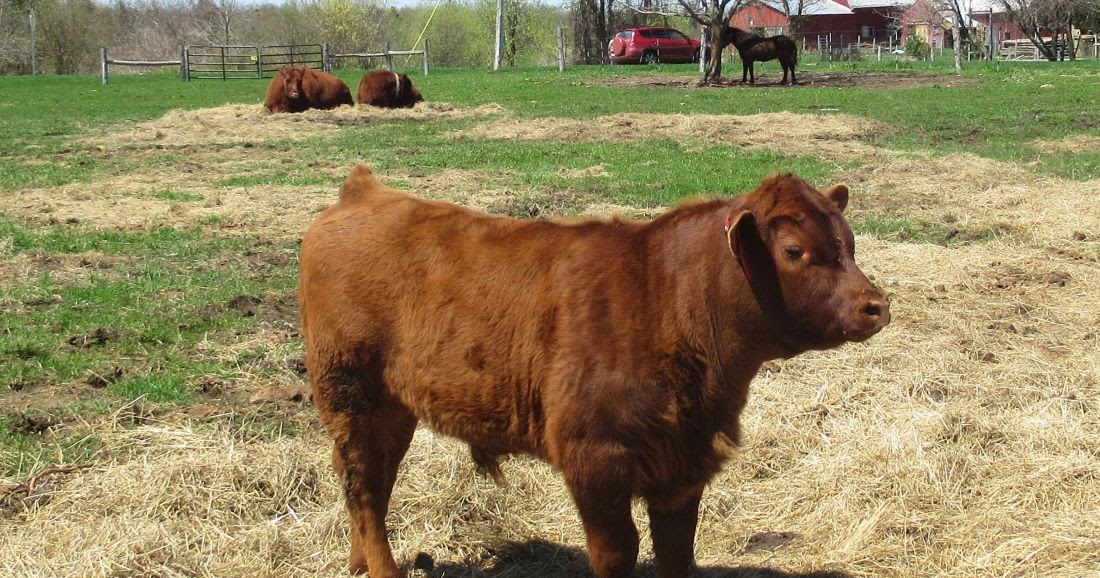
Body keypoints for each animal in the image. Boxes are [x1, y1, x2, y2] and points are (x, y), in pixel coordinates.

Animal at [299, 164, 890, 578]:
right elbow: (617, 552)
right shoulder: (597, 460)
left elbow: (677, 552)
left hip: (391, 408)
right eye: (793, 250)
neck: (666, 299)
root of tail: (367, 192)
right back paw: (380, 567)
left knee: (369, 480)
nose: (876, 305)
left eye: (850, 243)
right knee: (365, 487)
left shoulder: (683, 465)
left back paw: (356, 562)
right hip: (350, 393)